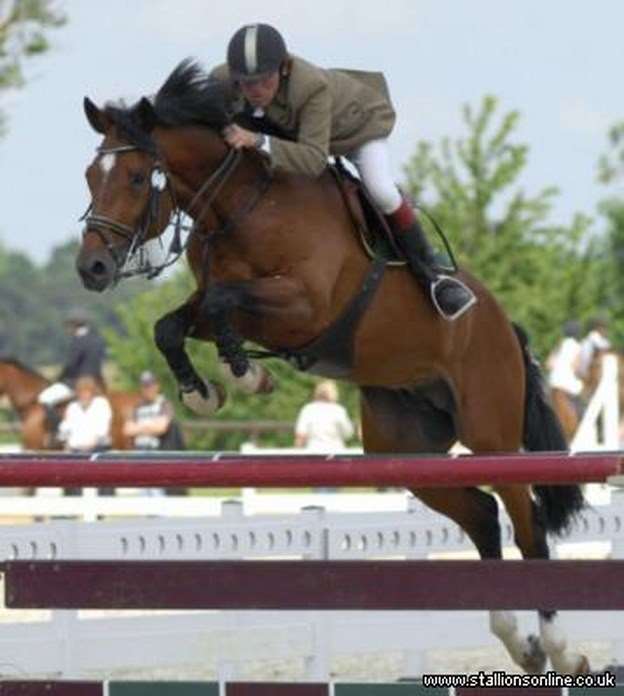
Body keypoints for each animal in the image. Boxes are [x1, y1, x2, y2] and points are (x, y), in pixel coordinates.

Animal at [75, 60, 587, 674]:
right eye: (90, 175)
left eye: (134, 178)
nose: (92, 268)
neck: (241, 207)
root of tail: (506, 327)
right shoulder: (221, 302)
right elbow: (173, 325)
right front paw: (207, 389)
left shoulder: (303, 307)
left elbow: (222, 304)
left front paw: (244, 372)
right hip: (404, 449)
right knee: (484, 514)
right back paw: (519, 642)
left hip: (491, 433)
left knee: (526, 522)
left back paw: (560, 648)